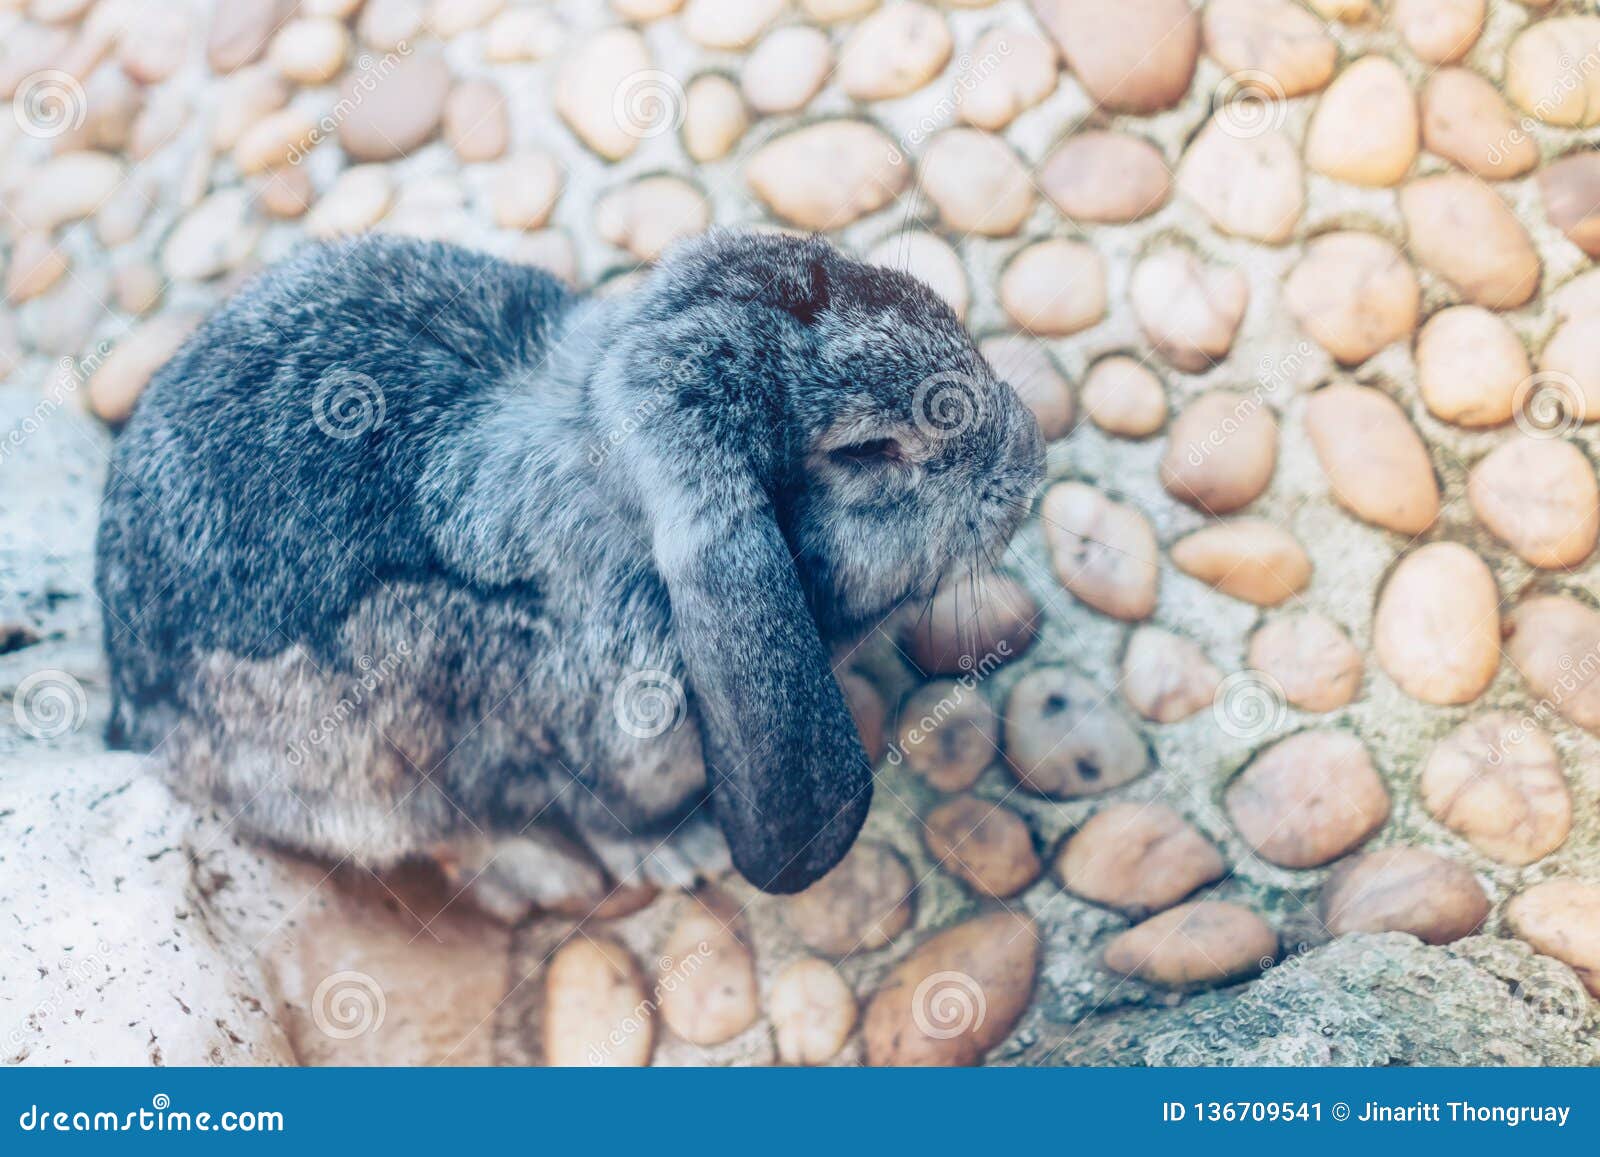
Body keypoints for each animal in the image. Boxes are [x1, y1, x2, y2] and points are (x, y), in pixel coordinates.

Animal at [95, 230, 1045, 919]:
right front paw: (683, 858)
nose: (1030, 458)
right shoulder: (567, 734)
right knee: (440, 834)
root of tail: (133, 695)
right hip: (368, 773)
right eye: (868, 450)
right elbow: (595, 810)